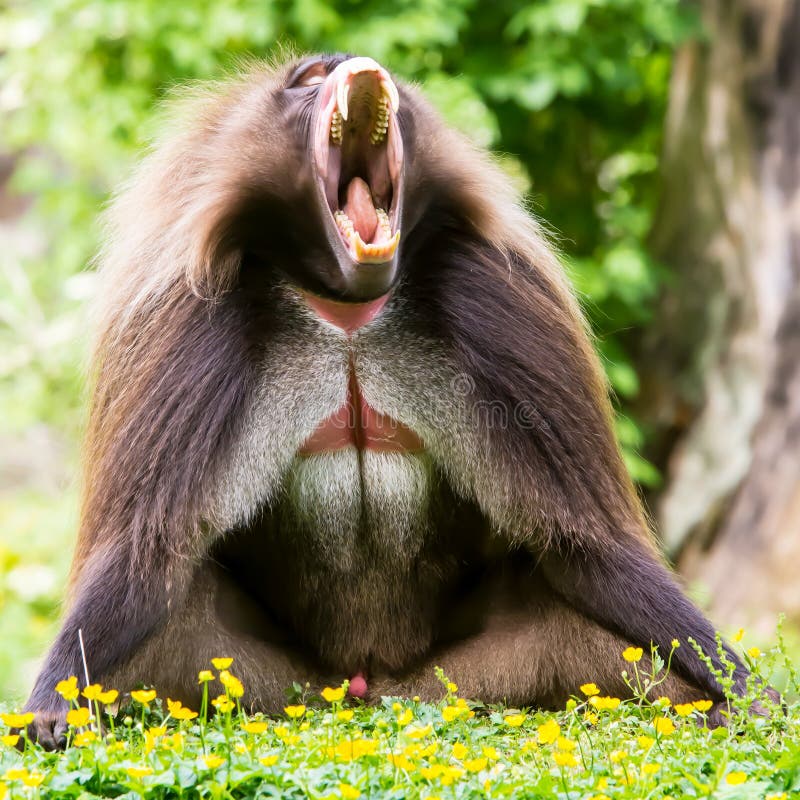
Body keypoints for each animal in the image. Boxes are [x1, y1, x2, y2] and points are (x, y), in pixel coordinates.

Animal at [24, 53, 772, 749]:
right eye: (308, 79)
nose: (347, 62)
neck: (347, 307)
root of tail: (367, 688)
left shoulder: (494, 296)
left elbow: (586, 541)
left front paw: (744, 690)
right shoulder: (190, 322)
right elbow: (148, 549)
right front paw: (50, 703)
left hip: (465, 682)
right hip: (270, 686)